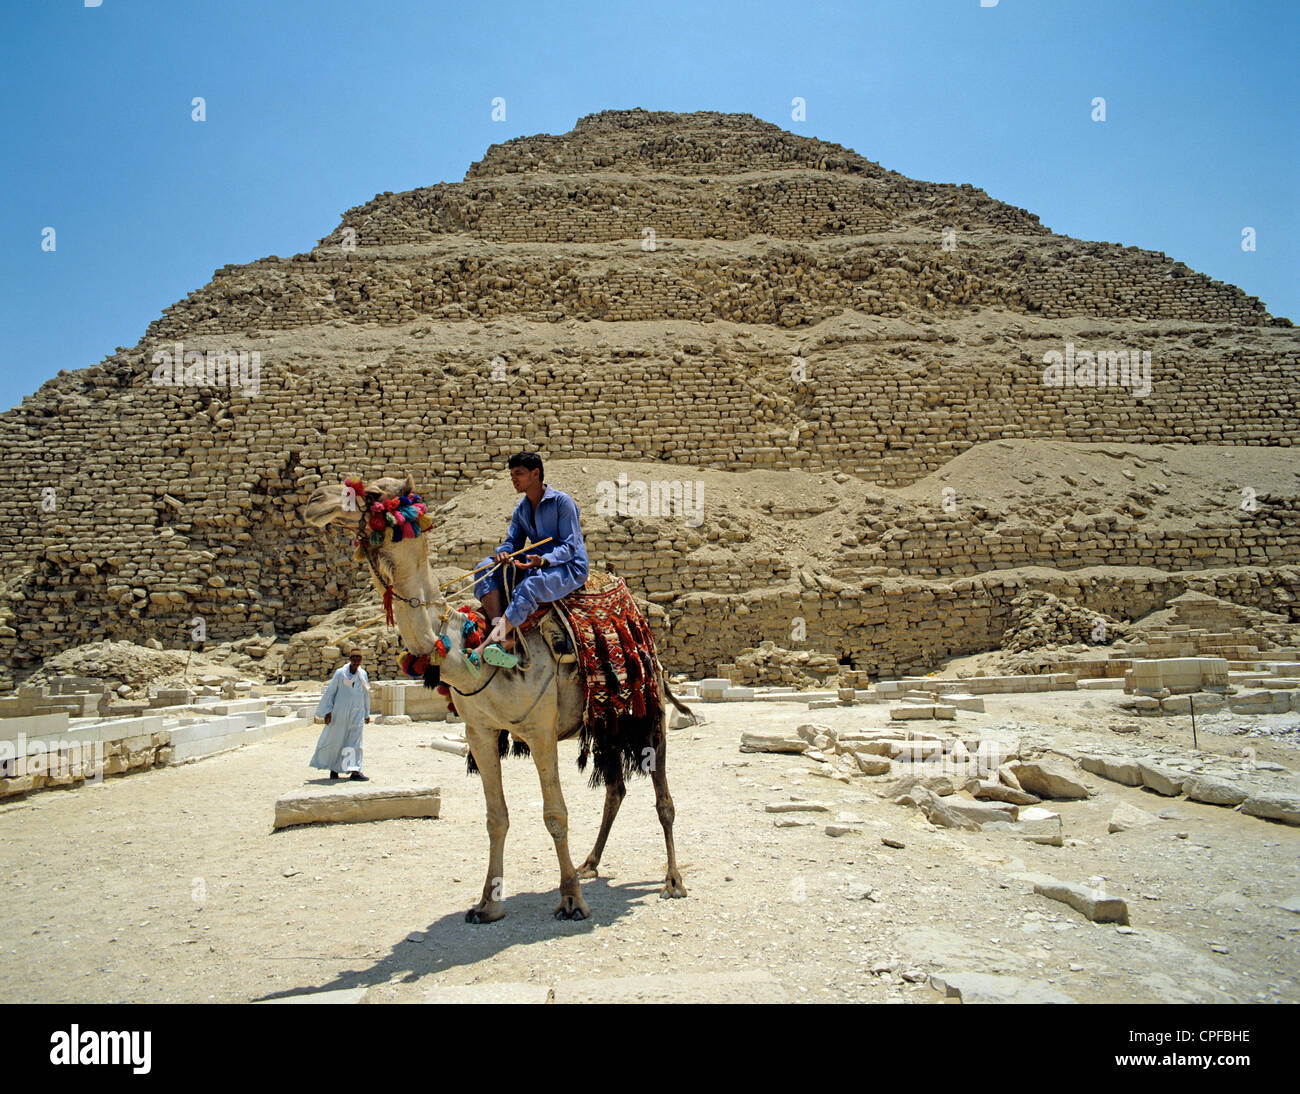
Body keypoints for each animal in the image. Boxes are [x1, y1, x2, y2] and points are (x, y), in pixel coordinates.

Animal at [302, 472, 689, 923]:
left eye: (378, 493)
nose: (315, 499)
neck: (465, 652)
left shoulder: (540, 731)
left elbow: (555, 814)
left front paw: (571, 900)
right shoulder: (480, 731)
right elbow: (495, 817)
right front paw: (487, 903)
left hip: (649, 709)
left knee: (663, 797)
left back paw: (672, 881)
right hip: (605, 718)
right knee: (615, 790)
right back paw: (589, 863)